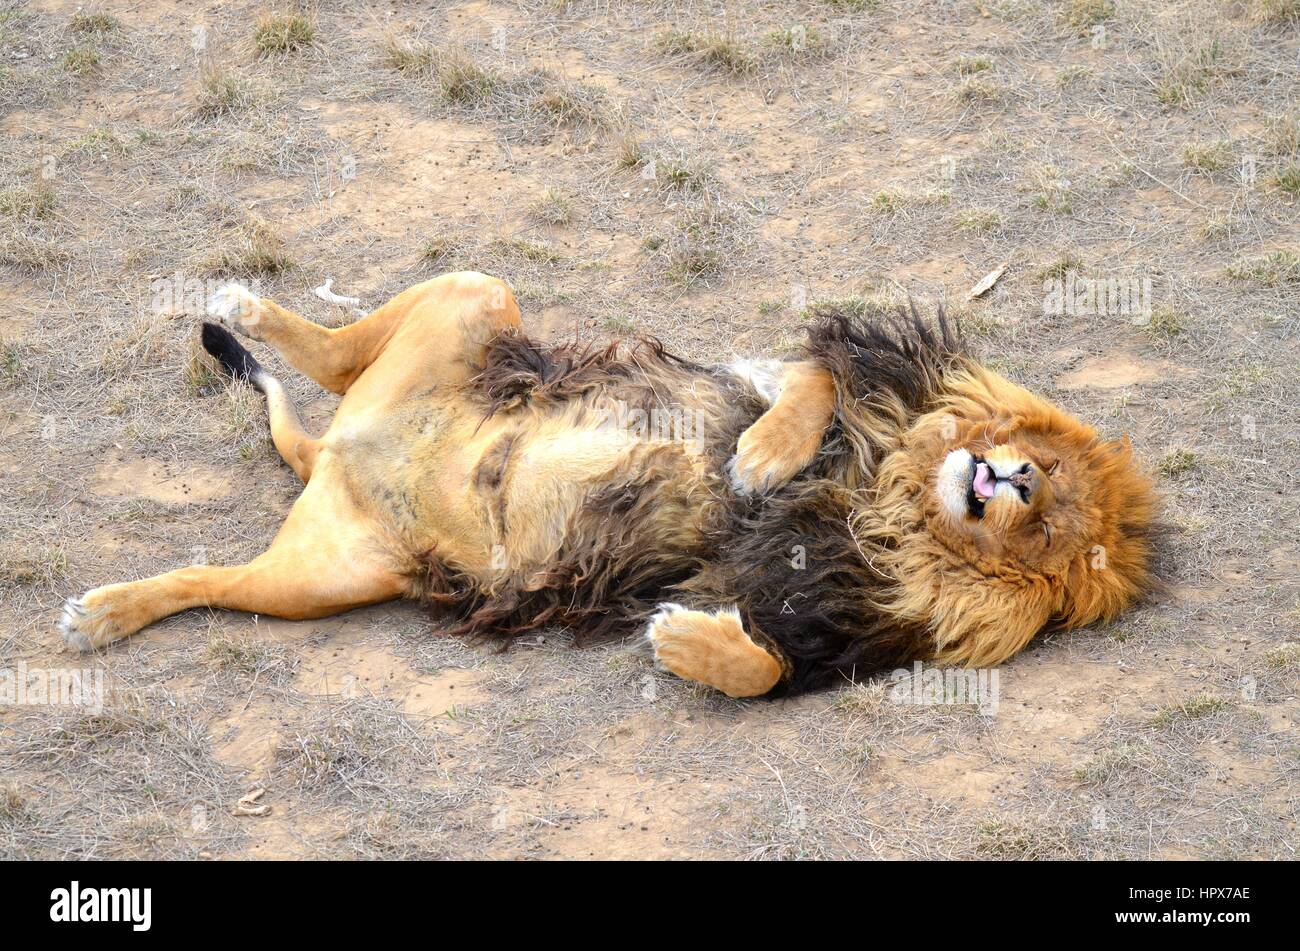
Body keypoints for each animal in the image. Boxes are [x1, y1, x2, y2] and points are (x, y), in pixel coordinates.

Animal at [58, 271, 1160, 698]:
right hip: (475, 295)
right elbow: (808, 385)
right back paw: (244, 305)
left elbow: (765, 667)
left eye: (1051, 525)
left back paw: (104, 612)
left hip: (322, 579)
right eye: (1048, 477)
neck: (896, 507)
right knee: (331, 353)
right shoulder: (808, 380)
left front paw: (683, 641)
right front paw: (760, 459)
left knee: (207, 581)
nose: (1012, 476)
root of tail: (337, 451)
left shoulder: (851, 622)